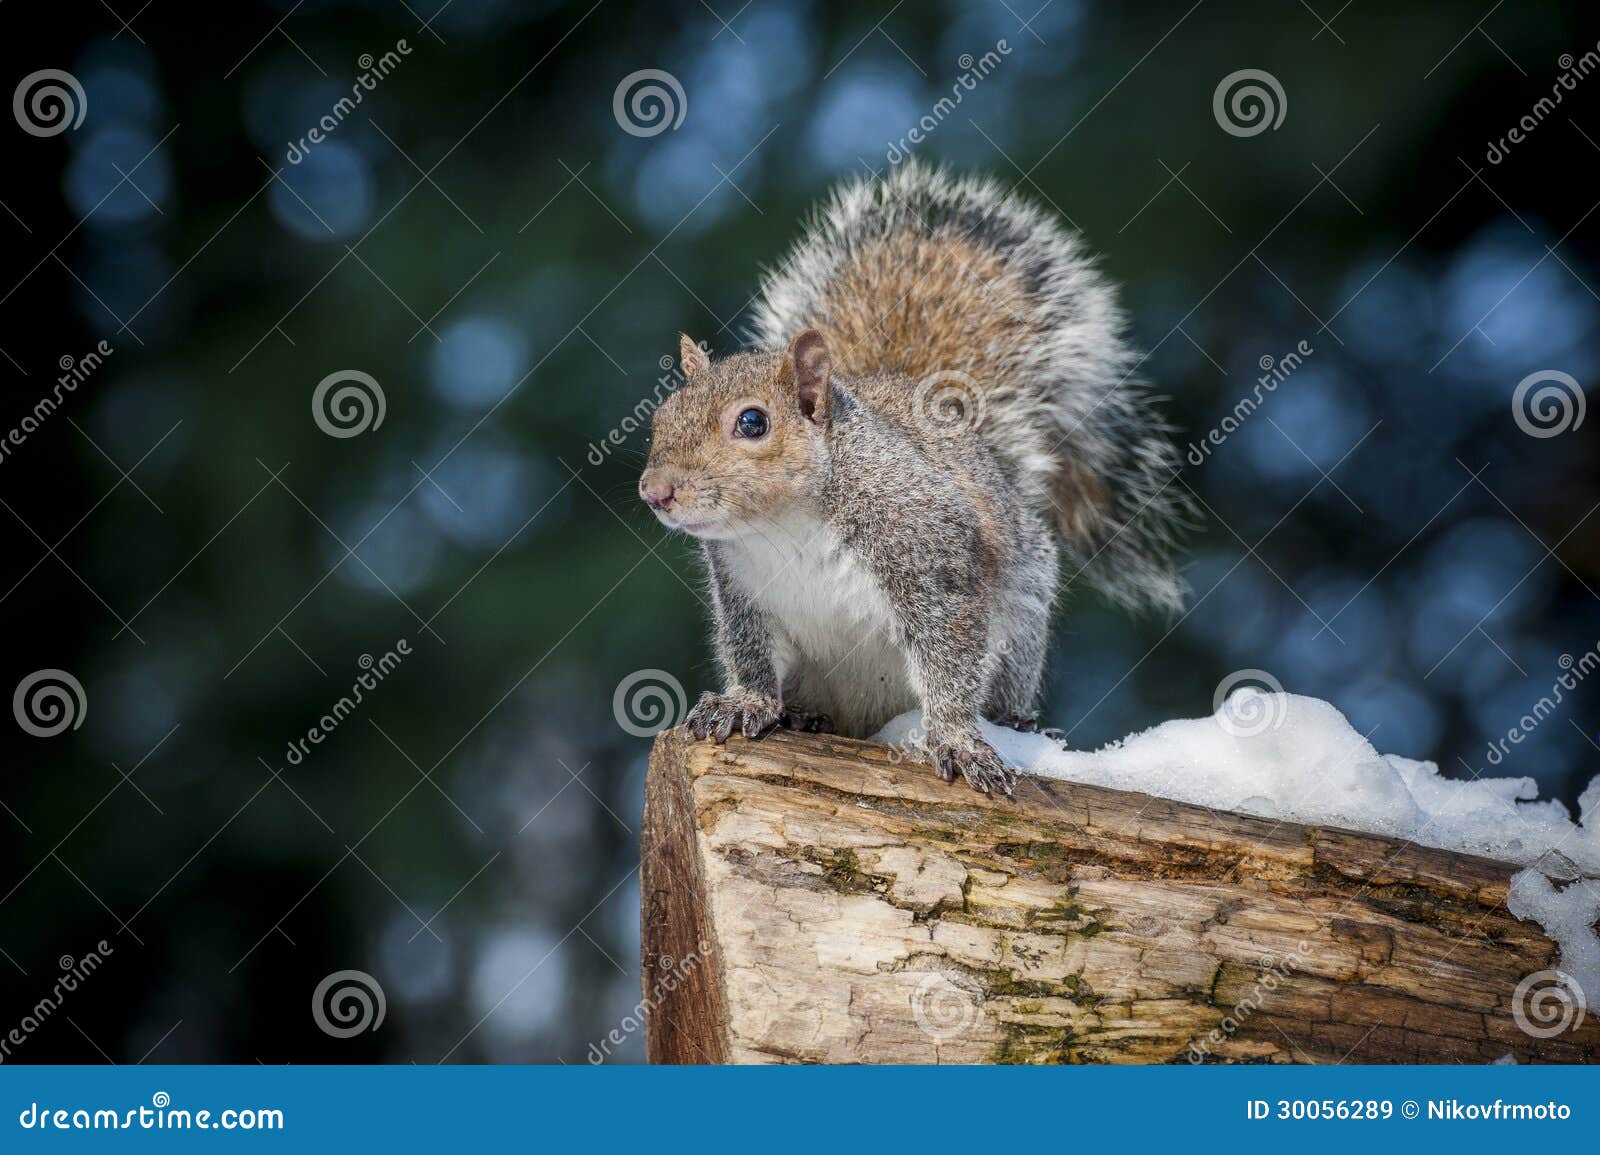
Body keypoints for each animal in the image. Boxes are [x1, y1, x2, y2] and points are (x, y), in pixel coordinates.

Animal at [639, 162, 1188, 795]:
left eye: (752, 422)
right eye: (660, 417)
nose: (655, 492)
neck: (786, 525)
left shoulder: (933, 557)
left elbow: (949, 662)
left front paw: (958, 743)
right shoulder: (742, 592)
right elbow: (751, 656)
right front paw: (745, 703)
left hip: (1023, 623)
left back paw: (1018, 723)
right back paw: (802, 716)